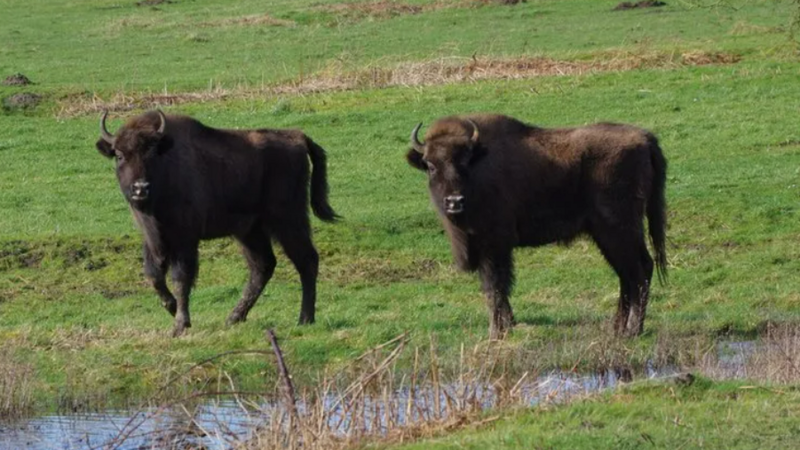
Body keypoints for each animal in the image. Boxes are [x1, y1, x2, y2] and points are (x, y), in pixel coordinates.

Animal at [96, 110, 338, 336]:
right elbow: (154, 275)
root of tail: (297, 137)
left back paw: (305, 319)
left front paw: (180, 325)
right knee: (263, 266)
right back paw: (234, 318)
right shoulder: (153, 239)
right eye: (119, 155)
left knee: (306, 260)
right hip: (250, 232)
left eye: (153, 153)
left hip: (288, 221)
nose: (140, 188)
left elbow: (181, 279)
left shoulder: (185, 240)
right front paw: (172, 308)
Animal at [406, 114, 667, 339]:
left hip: (617, 231)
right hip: (609, 236)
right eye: (430, 165)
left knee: (638, 271)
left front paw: (496, 332)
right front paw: (508, 325)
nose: (454, 202)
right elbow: (497, 288)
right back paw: (618, 328)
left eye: (464, 162)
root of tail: (645, 139)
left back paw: (632, 330)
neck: (479, 165)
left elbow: (495, 288)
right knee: (628, 274)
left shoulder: (494, 246)